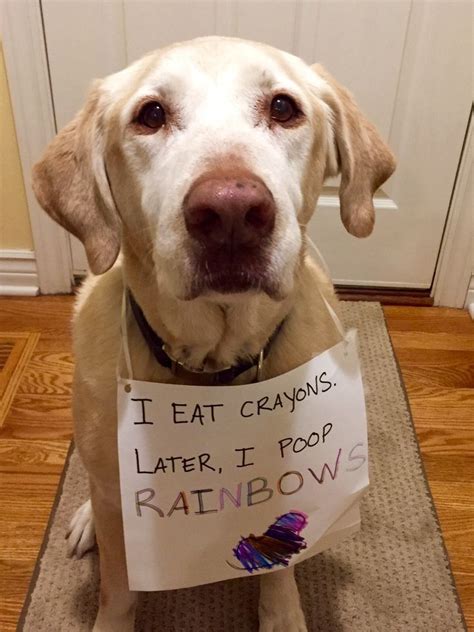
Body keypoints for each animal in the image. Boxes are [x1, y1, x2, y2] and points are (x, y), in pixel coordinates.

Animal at [32, 38, 392, 632]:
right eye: (151, 114)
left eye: (283, 107)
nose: (230, 212)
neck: (212, 364)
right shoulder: (124, 506)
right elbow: (118, 586)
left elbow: (278, 566)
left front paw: (282, 615)